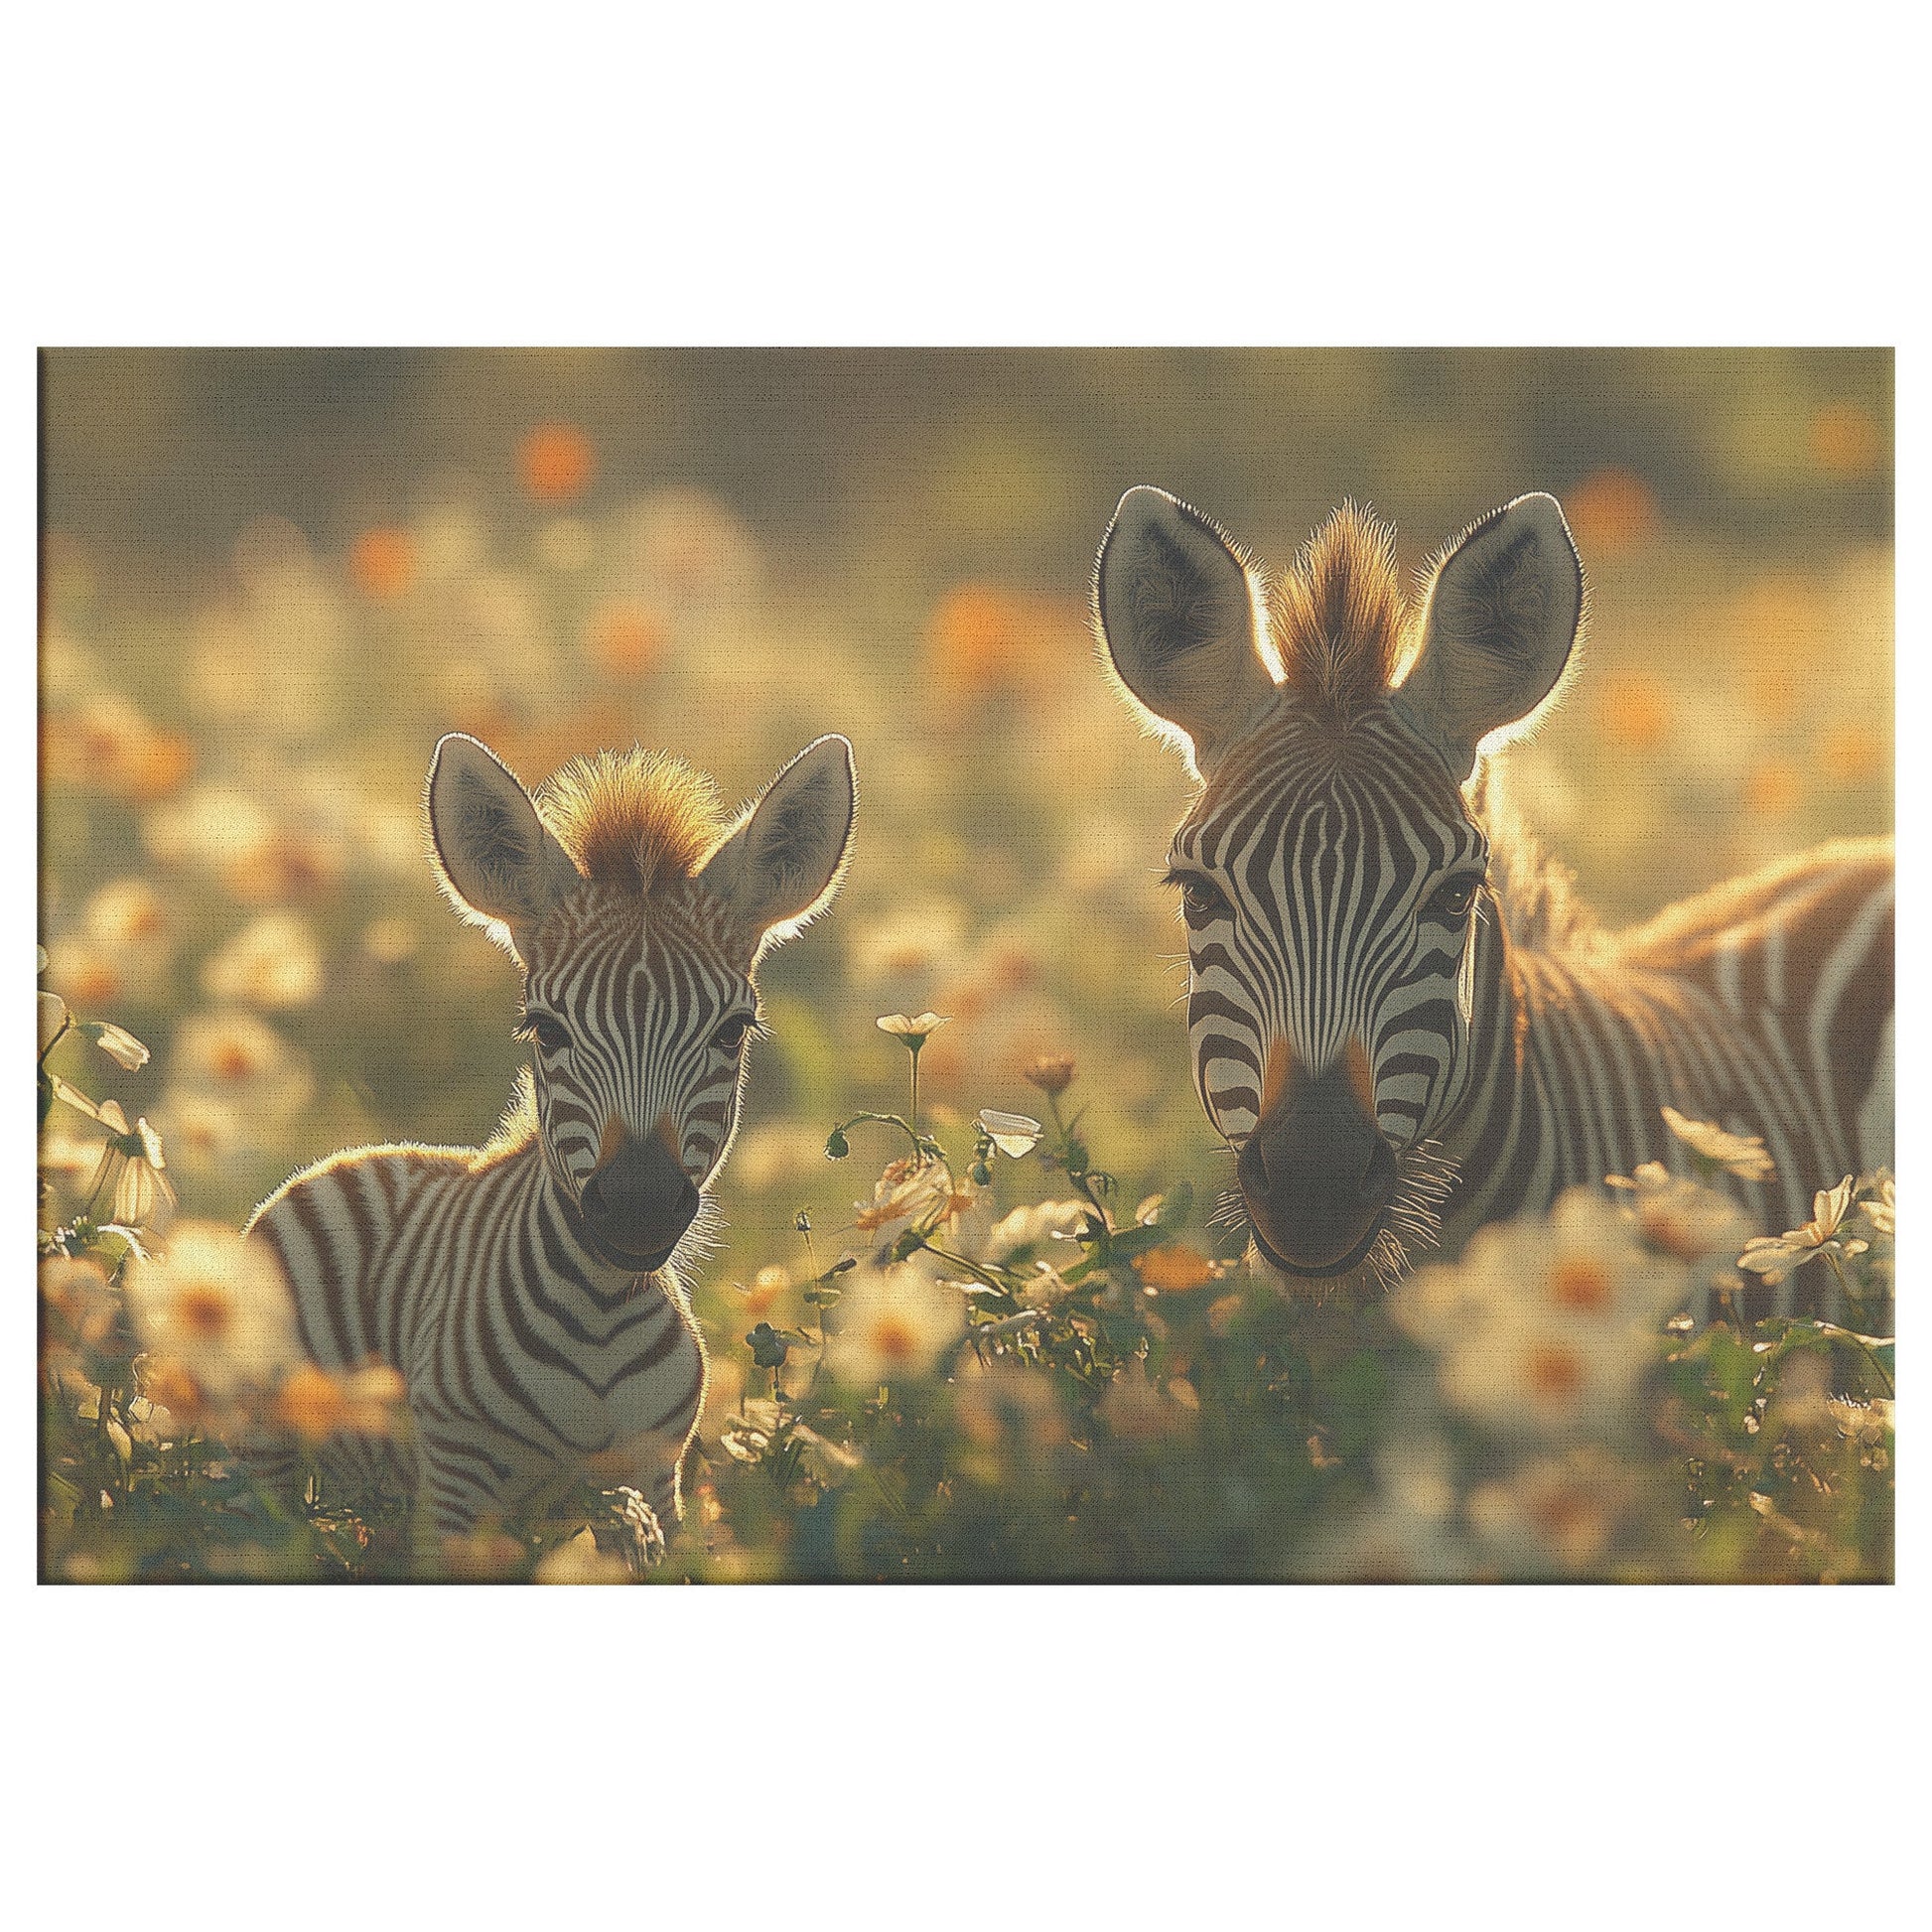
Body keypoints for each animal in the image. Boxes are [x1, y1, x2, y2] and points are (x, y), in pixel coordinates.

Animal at [243, 729, 857, 1564]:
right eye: (546, 1029)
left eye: (733, 1031)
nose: (638, 1207)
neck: (601, 1311)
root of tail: (349, 1157)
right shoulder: (457, 1487)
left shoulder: (650, 1480)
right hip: (261, 1455)